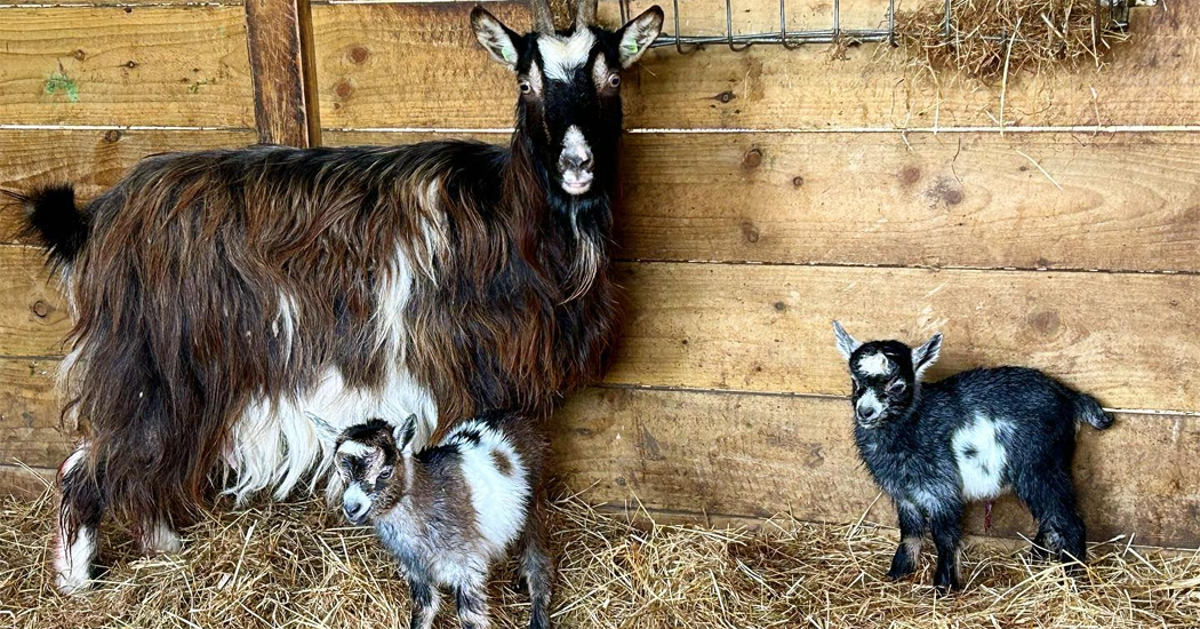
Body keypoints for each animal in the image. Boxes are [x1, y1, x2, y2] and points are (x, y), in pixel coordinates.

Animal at [7, 0, 665, 594]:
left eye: (611, 79)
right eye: (526, 83)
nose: (576, 165)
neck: (510, 217)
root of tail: (97, 218)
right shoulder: (460, 373)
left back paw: (163, 544)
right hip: (152, 366)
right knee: (91, 463)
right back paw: (77, 580)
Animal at [314, 411, 548, 629]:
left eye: (385, 472)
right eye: (340, 473)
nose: (352, 508)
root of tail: (518, 418)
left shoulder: (468, 567)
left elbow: (470, 618)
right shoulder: (417, 571)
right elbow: (424, 609)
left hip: (533, 505)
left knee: (538, 562)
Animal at [831, 321, 1114, 591]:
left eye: (898, 386)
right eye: (855, 382)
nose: (865, 411)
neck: (915, 422)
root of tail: (1069, 397)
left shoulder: (942, 489)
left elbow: (944, 537)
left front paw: (943, 586)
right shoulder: (905, 494)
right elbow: (910, 532)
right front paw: (898, 573)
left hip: (1042, 464)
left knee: (1066, 518)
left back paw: (1072, 577)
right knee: (1051, 516)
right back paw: (1038, 559)